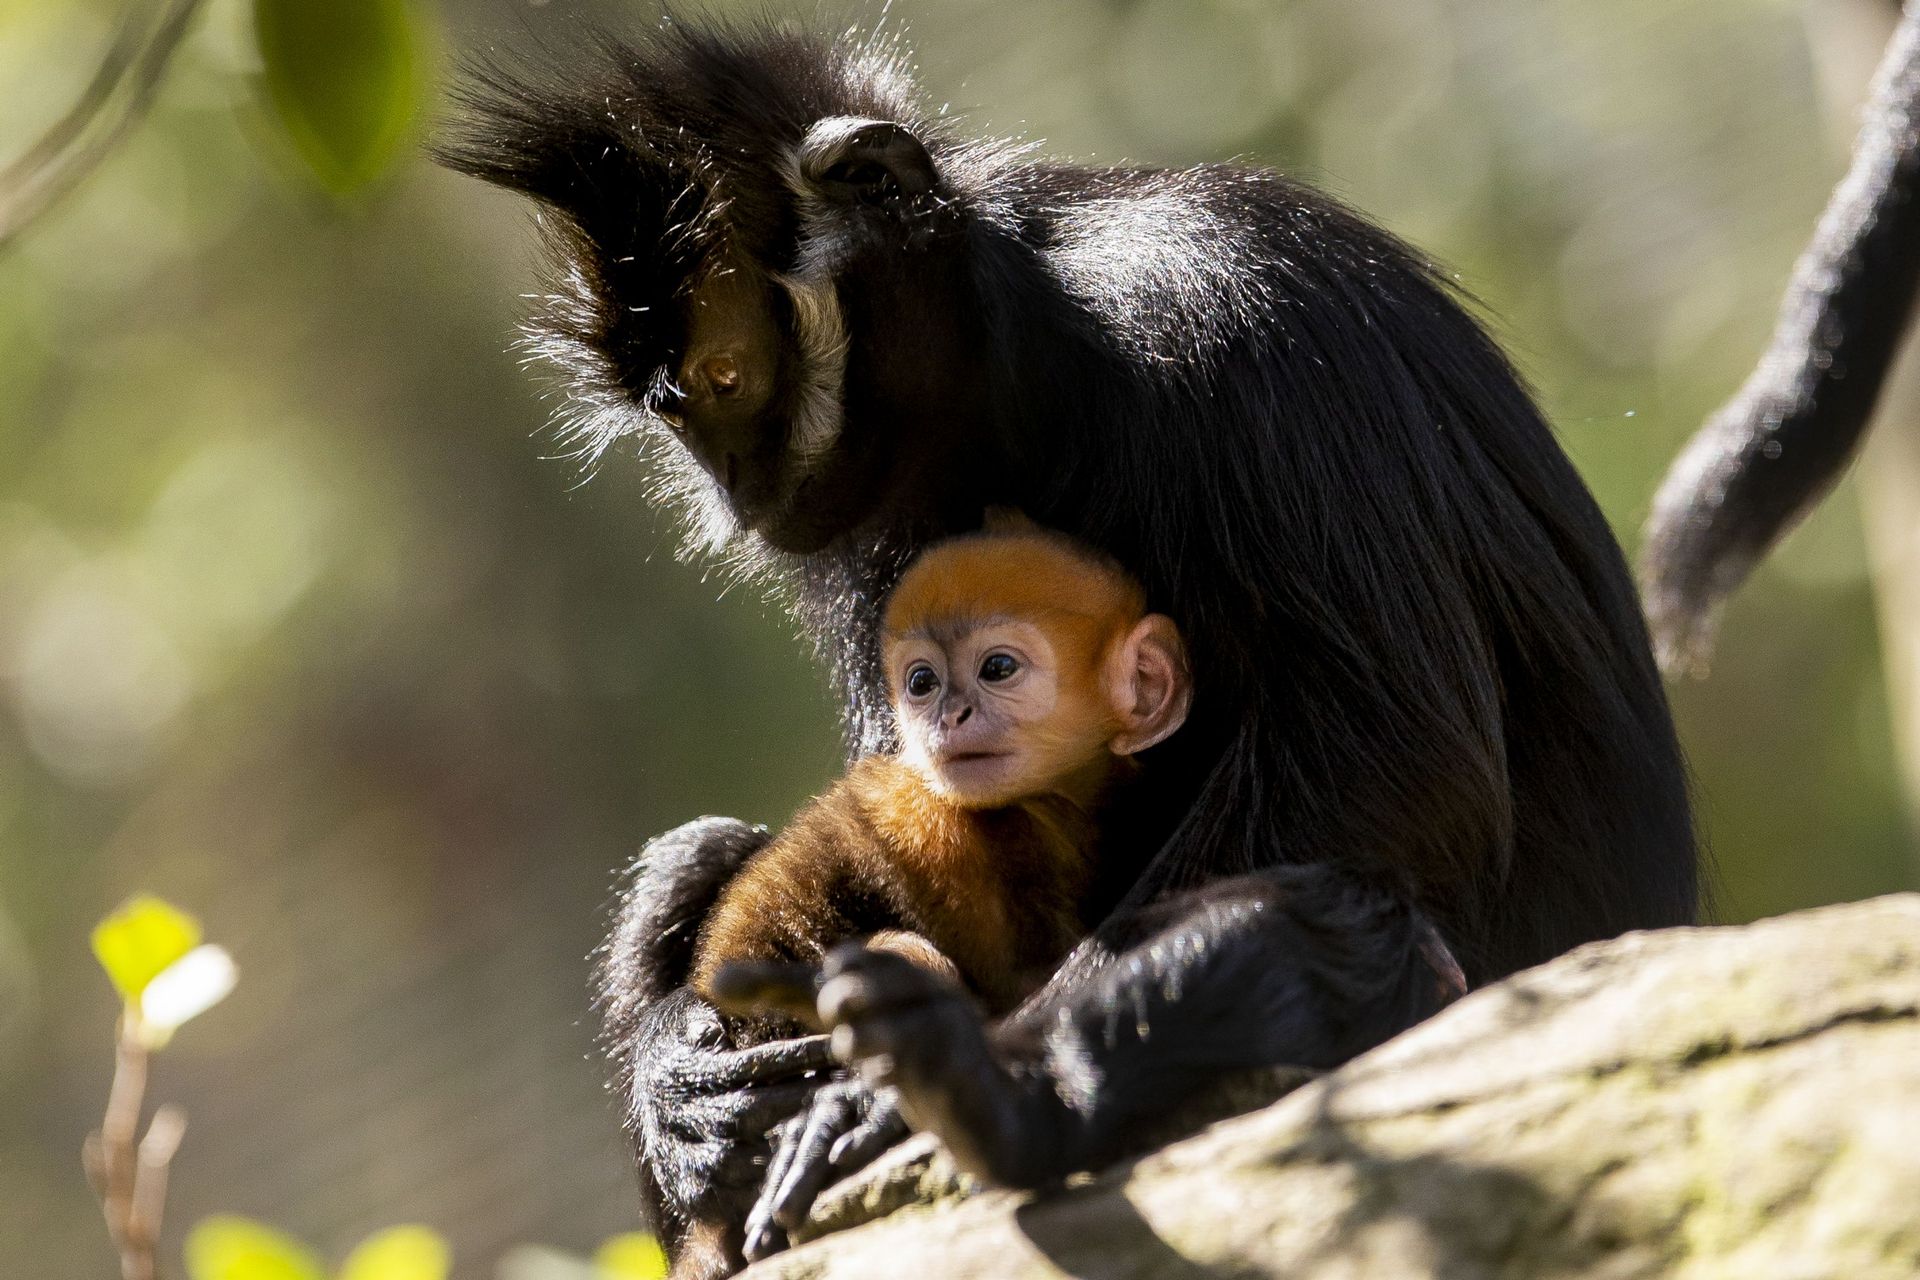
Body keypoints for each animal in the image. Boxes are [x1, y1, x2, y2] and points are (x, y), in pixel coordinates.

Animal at [438, 17, 1696, 1266]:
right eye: (681, 418)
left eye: (727, 377)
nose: (729, 486)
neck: (1030, 345)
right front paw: (676, 1077)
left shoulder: (1224, 306)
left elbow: (1399, 763)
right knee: (696, 851)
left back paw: (989, 1100)